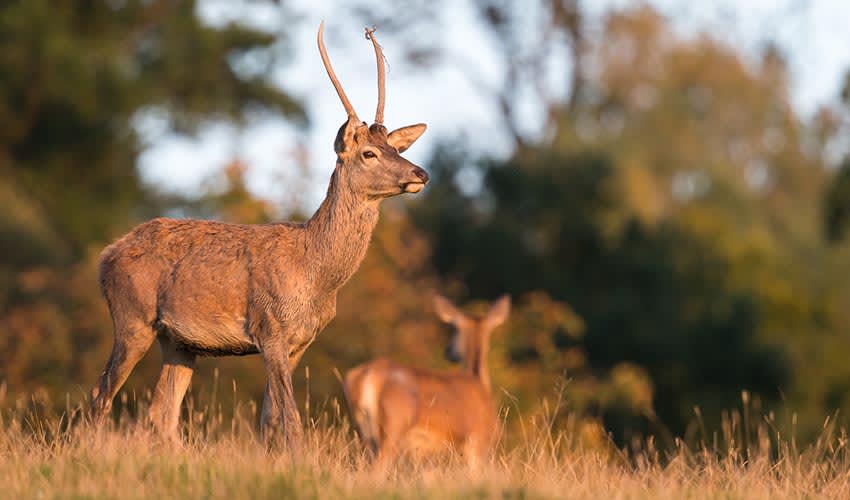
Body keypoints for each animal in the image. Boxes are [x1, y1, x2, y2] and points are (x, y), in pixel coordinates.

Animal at [89, 23, 430, 450]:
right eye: (369, 153)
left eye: (394, 148)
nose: (420, 173)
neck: (316, 274)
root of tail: (107, 256)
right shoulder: (270, 328)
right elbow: (292, 421)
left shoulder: (299, 341)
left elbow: (269, 420)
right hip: (132, 316)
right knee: (102, 392)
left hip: (179, 341)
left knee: (160, 413)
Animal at [343, 294, 510, 468]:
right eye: (453, 328)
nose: (447, 351)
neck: (480, 382)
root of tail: (370, 375)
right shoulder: (478, 440)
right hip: (394, 426)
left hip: (365, 430)